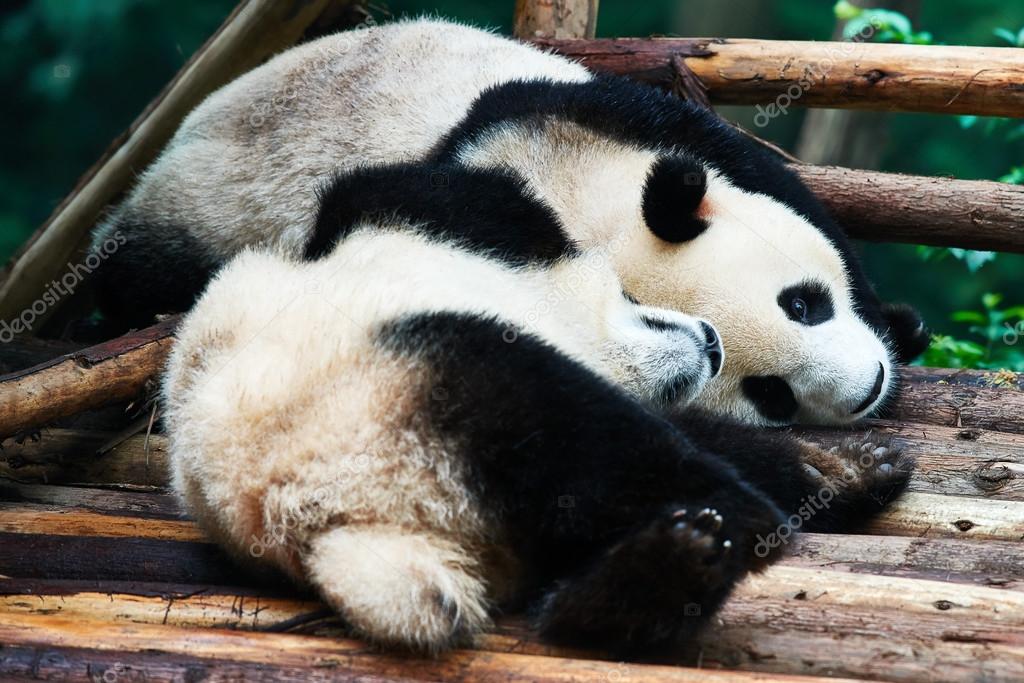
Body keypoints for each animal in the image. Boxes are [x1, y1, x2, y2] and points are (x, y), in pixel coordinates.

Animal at [93, 18, 929, 426]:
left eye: (804, 303)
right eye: (770, 395)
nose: (869, 389)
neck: (571, 187)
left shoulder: (597, 108)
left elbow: (785, 191)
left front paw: (901, 322)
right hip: (190, 211)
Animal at [164, 161, 911, 654]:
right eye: (635, 295)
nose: (712, 340)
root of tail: (320, 525)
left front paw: (851, 468)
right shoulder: (430, 227)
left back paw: (651, 579)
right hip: (393, 389)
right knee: (578, 437)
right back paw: (725, 531)